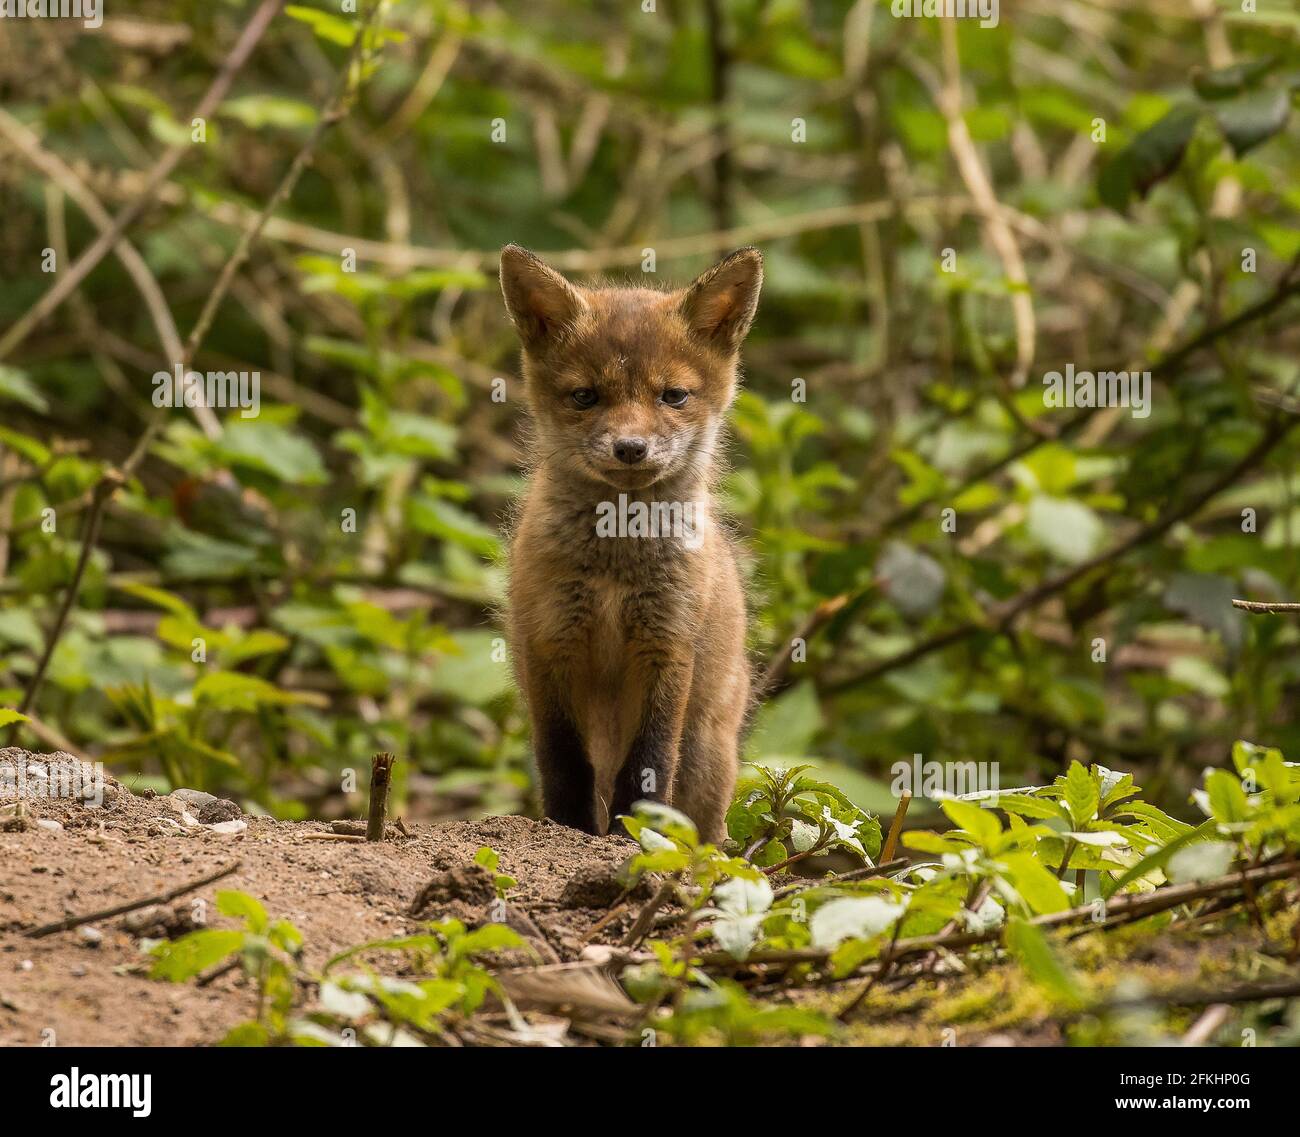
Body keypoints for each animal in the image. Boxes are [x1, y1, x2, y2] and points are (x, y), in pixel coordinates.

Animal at [500, 244, 762, 842]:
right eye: (585, 397)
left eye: (673, 396)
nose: (630, 448)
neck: (615, 568)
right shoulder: (549, 639)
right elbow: (562, 760)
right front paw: (568, 829)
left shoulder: (668, 642)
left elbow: (649, 760)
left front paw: (636, 834)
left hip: (708, 753)